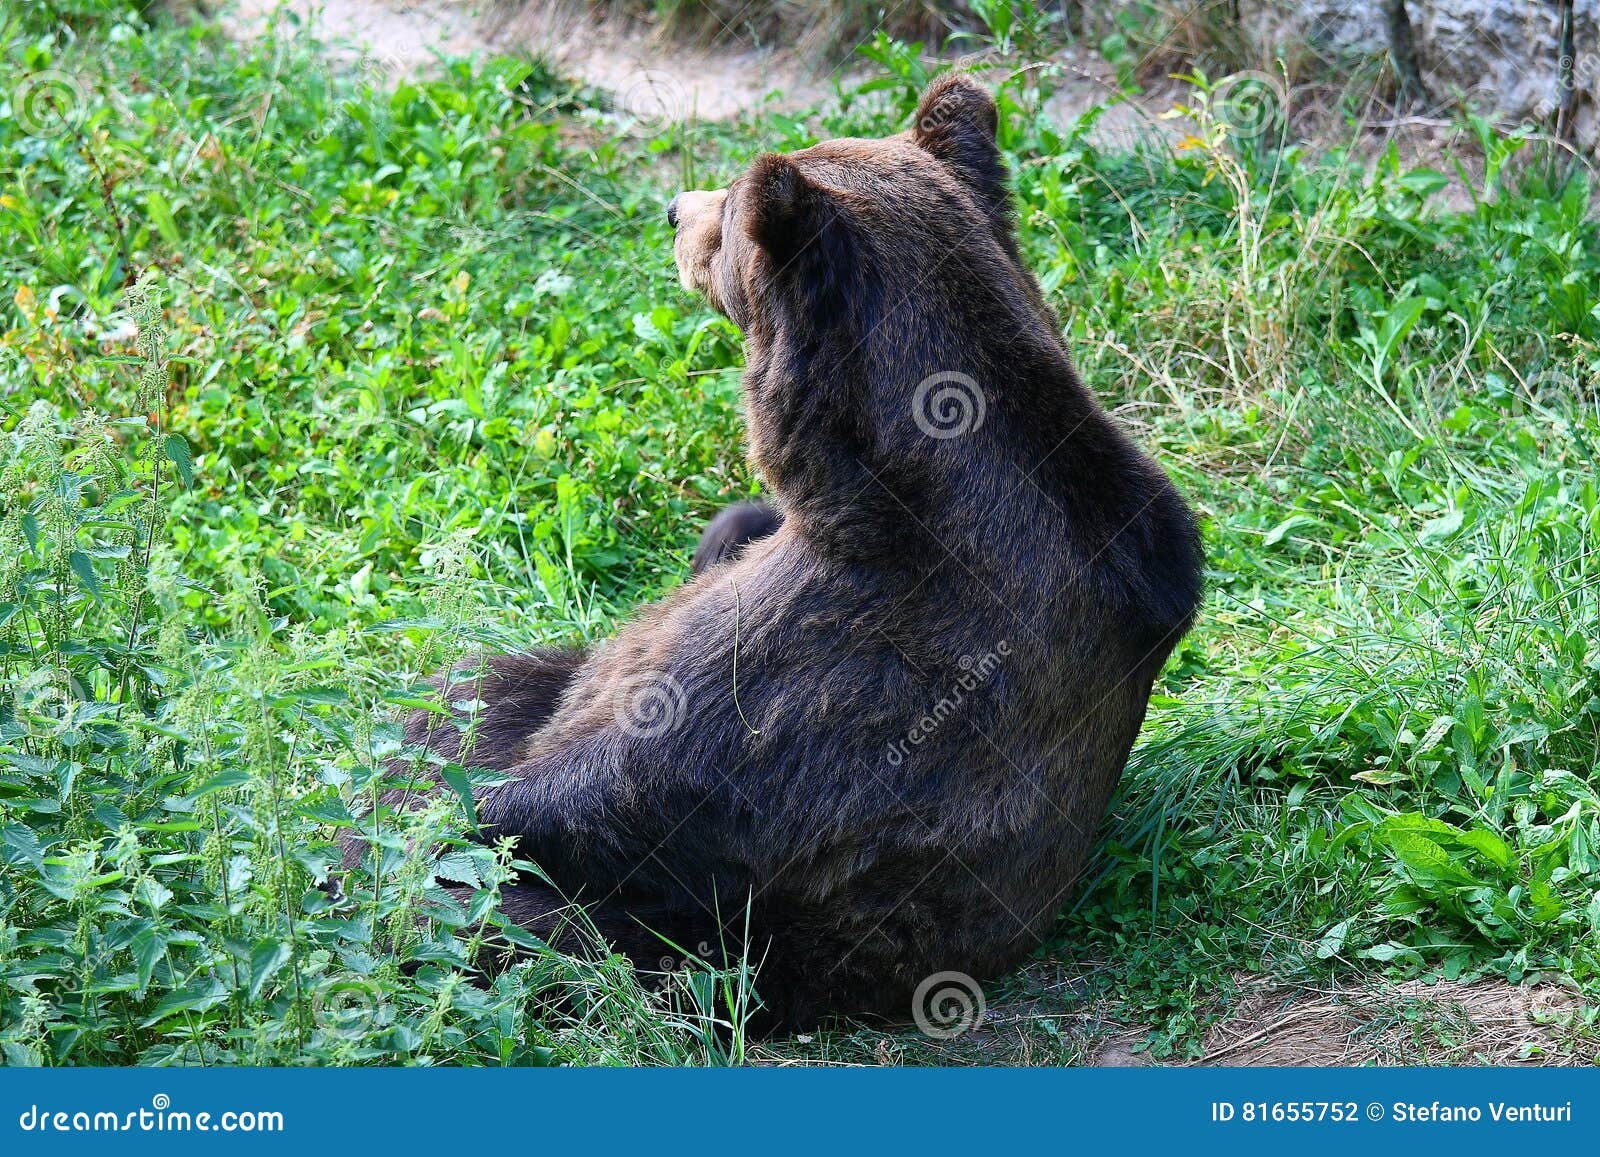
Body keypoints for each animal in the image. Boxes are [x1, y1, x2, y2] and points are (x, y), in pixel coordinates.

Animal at [350, 73, 1203, 1033]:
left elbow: (645, 781)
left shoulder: (862, 646)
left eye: (724, 209)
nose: (674, 207)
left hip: (729, 946)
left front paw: (434, 810)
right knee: (495, 681)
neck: (864, 482)